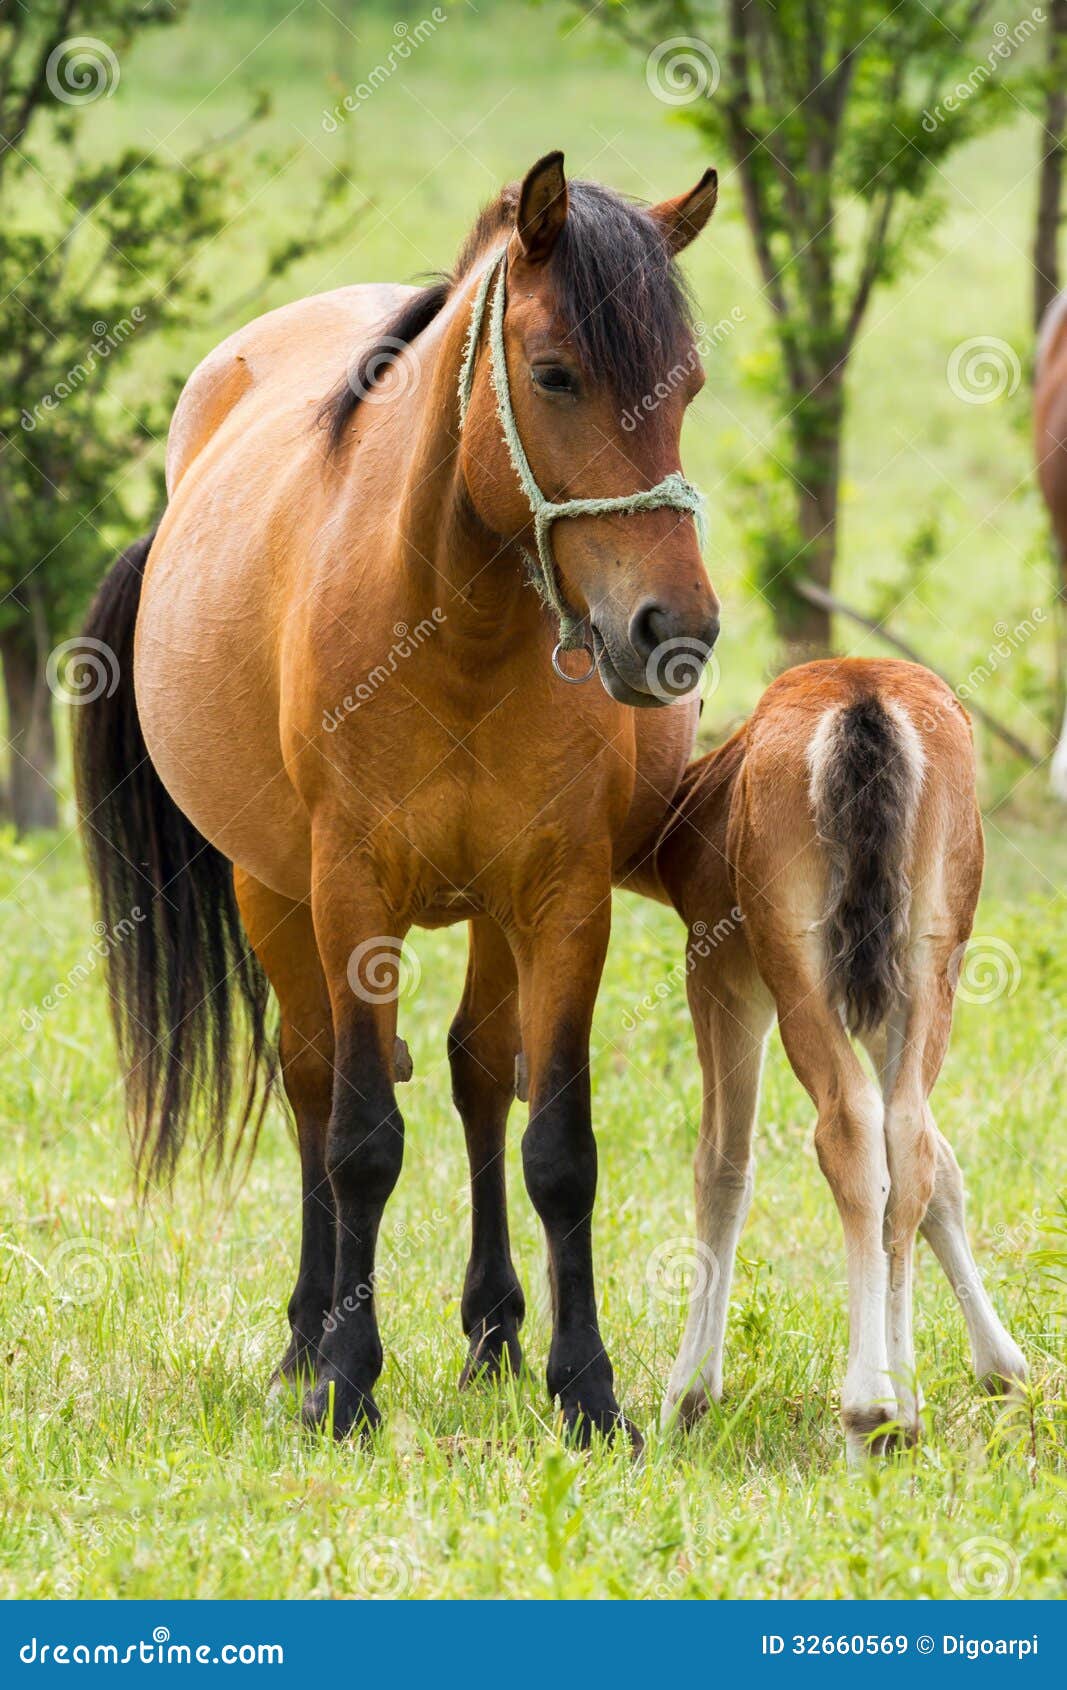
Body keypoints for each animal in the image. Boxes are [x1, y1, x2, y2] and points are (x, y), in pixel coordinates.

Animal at [73, 152, 722, 1446]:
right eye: (554, 373)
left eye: (685, 385)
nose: (670, 629)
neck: (447, 630)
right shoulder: (350, 895)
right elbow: (362, 1139)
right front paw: (343, 1382)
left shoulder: (561, 898)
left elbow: (555, 1143)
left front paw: (584, 1387)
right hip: (270, 892)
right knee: (314, 1082)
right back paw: (302, 1338)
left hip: (485, 913)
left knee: (475, 1073)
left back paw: (493, 1333)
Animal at [451, 658, 1028, 1460]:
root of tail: (864, 700)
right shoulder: (881, 1000)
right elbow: (938, 1165)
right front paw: (998, 1371)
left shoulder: (720, 972)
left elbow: (721, 1163)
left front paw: (688, 1396)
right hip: (927, 953)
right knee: (906, 1136)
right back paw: (899, 1411)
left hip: (792, 961)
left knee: (846, 1128)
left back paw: (867, 1412)